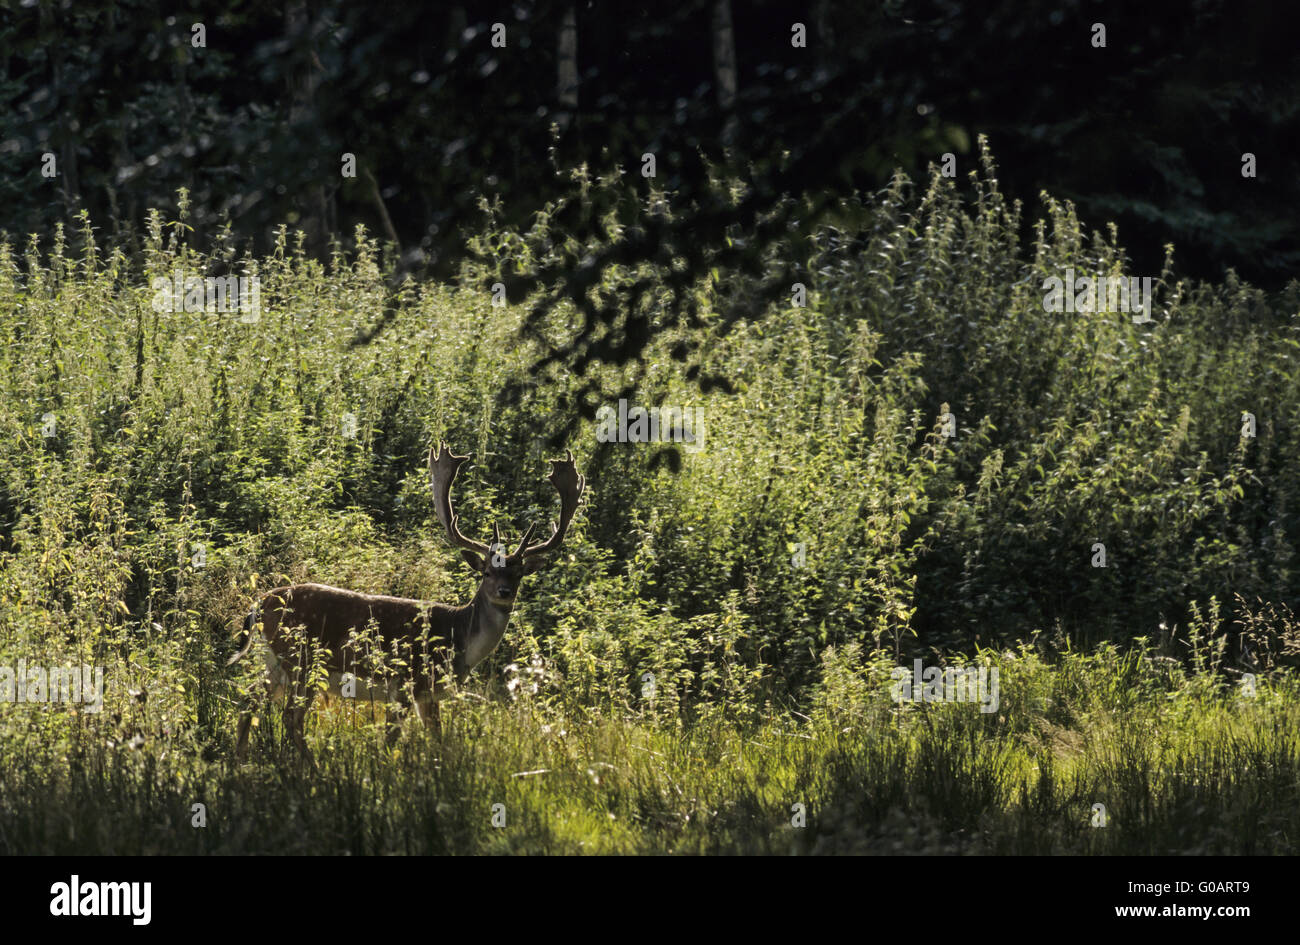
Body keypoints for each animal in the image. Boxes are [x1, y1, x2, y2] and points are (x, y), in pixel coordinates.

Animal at [227, 441, 585, 763]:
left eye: (519, 573)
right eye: (486, 572)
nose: (504, 592)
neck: (458, 639)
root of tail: (257, 605)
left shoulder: (431, 694)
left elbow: (438, 739)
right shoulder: (405, 681)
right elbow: (391, 738)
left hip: (272, 663)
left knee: (248, 700)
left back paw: (240, 758)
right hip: (302, 660)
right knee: (290, 717)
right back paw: (311, 766)